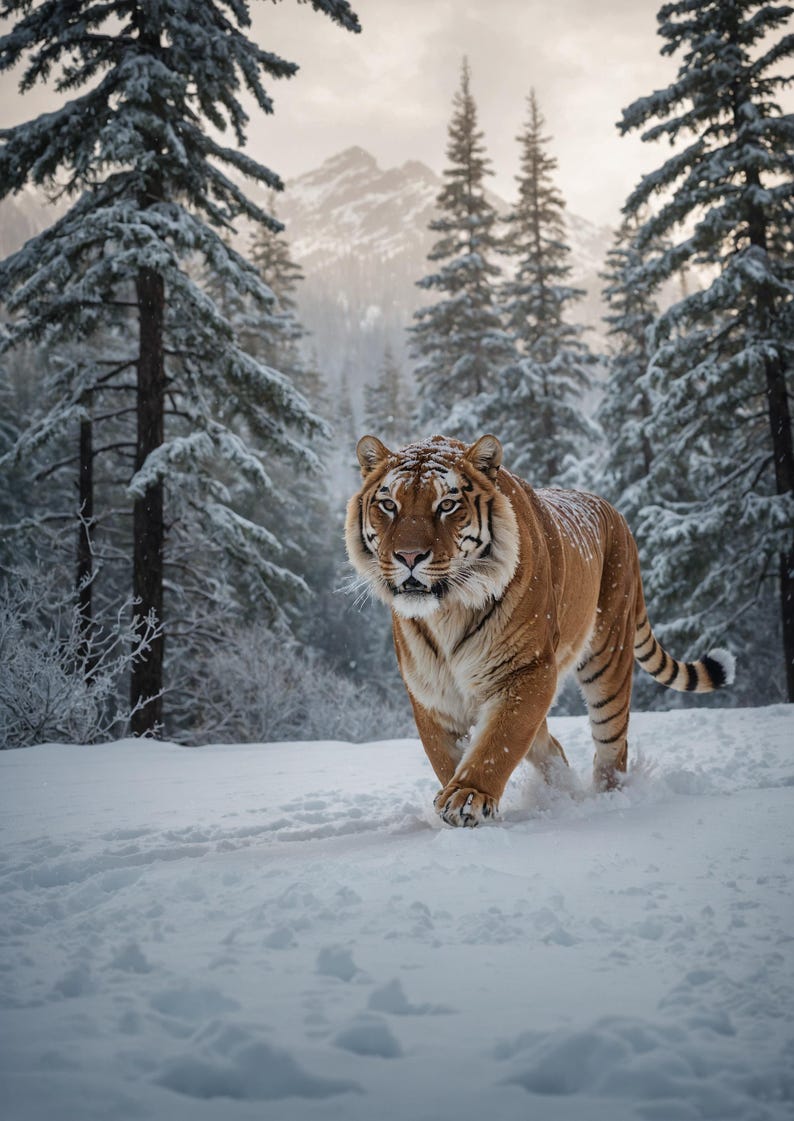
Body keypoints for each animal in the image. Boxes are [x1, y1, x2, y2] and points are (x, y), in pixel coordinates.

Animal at [345, 433, 735, 828]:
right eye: (389, 505)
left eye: (447, 505)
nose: (409, 556)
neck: (448, 610)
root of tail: (617, 514)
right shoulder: (432, 691)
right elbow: (447, 754)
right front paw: (454, 797)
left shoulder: (528, 669)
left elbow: (499, 741)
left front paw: (468, 797)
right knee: (551, 747)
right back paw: (562, 791)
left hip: (608, 662)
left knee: (613, 745)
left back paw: (609, 799)